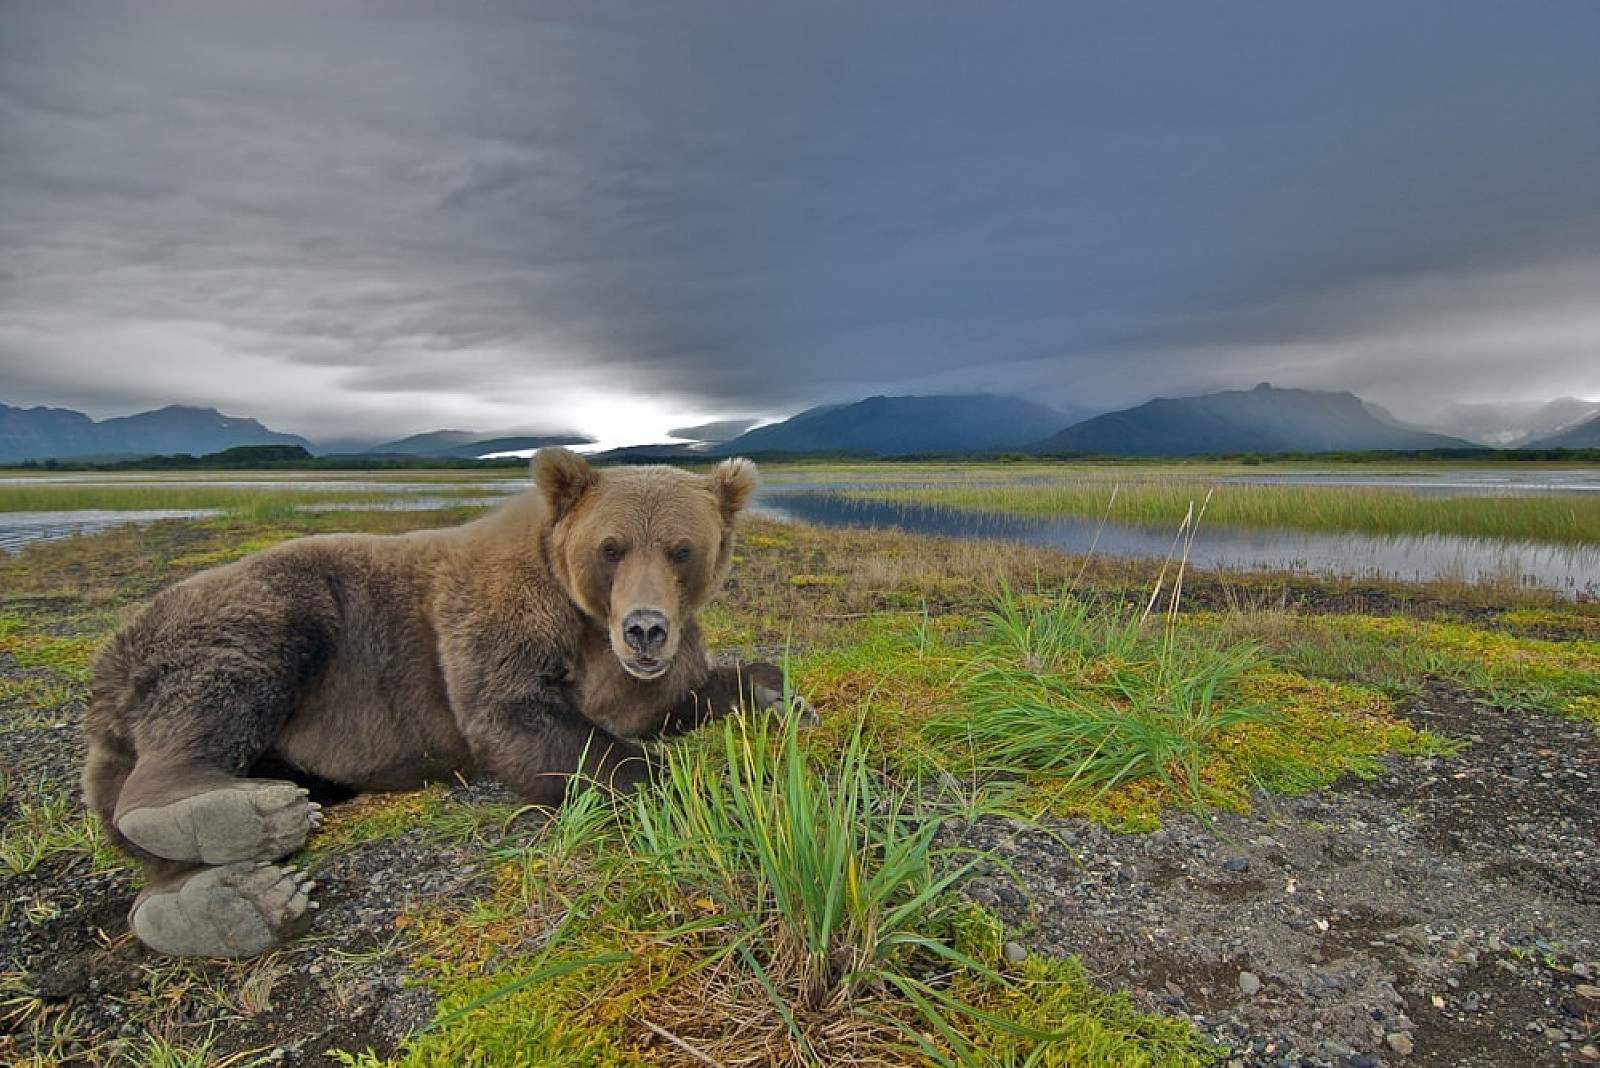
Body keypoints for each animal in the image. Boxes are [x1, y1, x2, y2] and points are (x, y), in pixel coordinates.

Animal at [81, 448, 811, 959]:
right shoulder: (502, 617)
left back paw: (231, 902)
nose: (645, 627)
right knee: (231, 674)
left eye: (681, 549)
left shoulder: (640, 674)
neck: (589, 630)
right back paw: (234, 819)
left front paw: (779, 696)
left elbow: (679, 695)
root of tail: (108, 679)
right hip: (257, 614)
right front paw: (688, 787)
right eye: (612, 548)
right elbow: (520, 720)